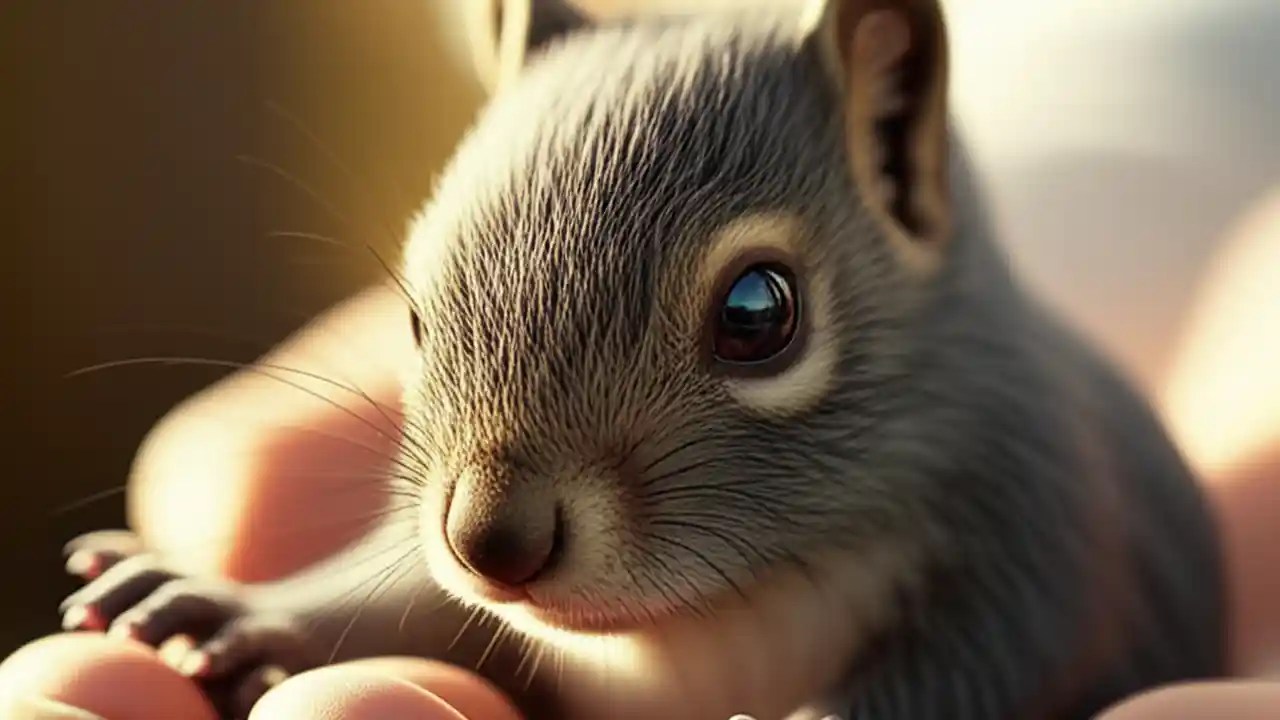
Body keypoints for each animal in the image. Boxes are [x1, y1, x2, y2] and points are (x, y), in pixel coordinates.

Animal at [56, 1, 1227, 718]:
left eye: (757, 314)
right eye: (415, 318)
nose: (491, 541)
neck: (723, 609)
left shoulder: (1044, 539)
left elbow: (981, 670)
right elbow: (413, 608)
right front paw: (233, 605)